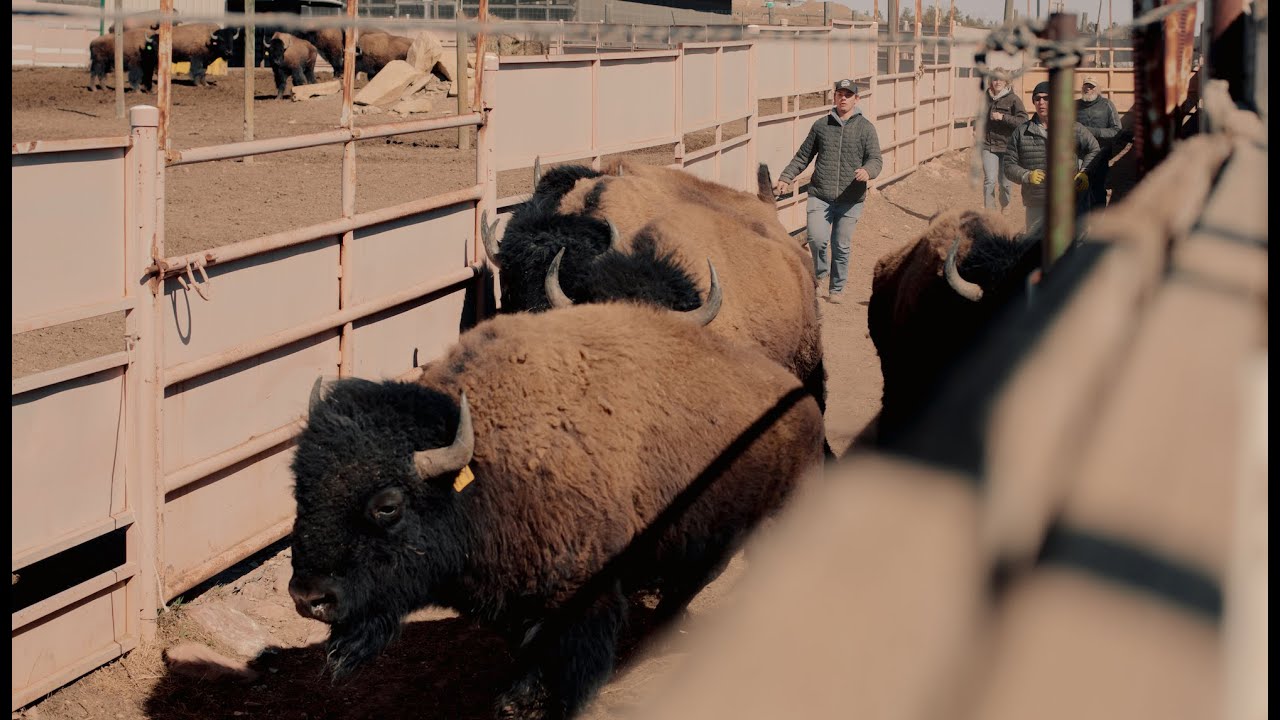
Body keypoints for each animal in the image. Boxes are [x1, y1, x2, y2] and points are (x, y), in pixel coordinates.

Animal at [288, 298, 823, 720]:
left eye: (388, 506)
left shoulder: (581, 595)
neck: (486, 462)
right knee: (691, 582)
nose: (309, 597)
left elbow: (568, 661)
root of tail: (802, 399)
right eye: (300, 488)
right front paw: (516, 699)